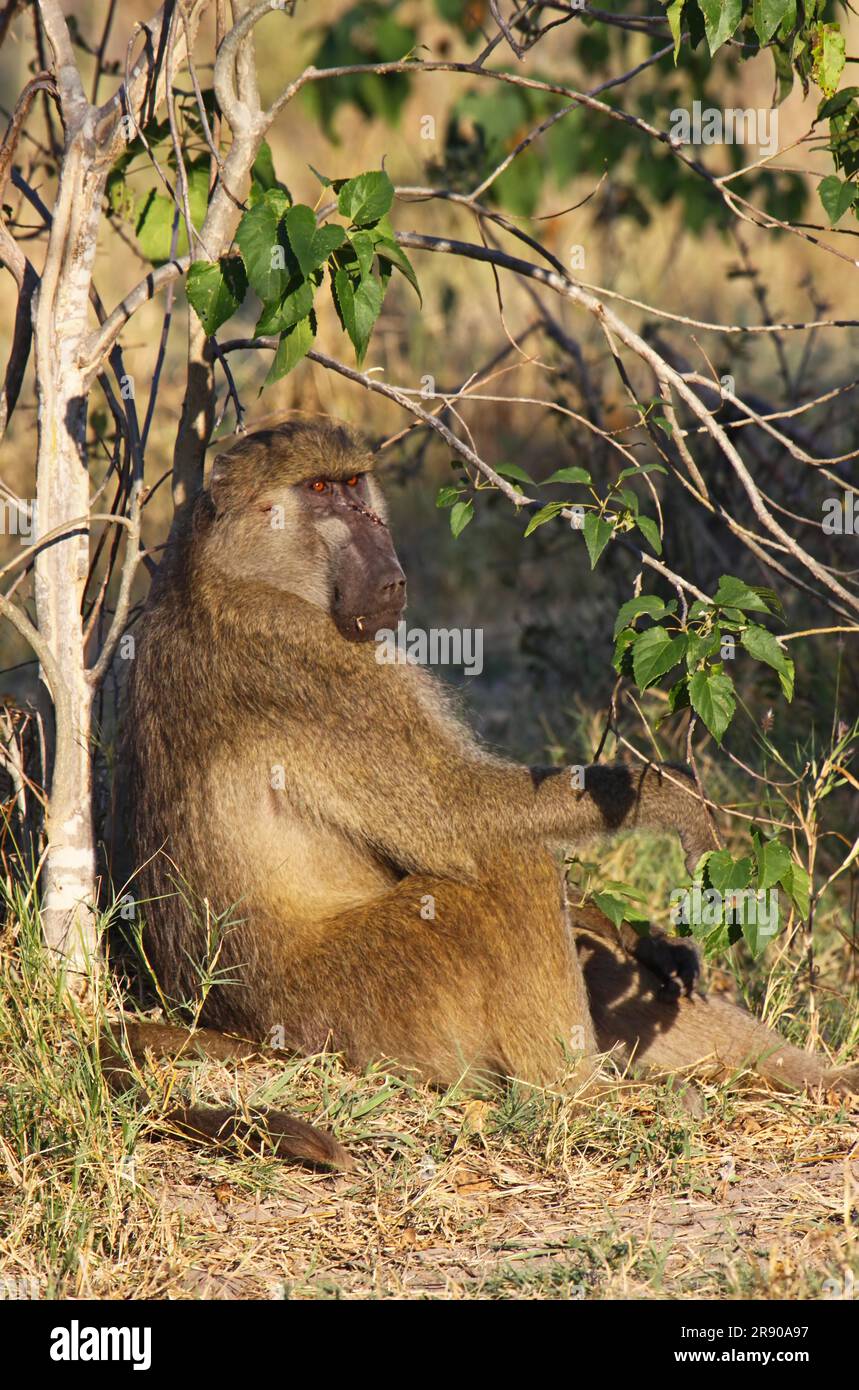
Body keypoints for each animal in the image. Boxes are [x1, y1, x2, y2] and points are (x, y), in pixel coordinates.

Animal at [116, 419, 857, 1169]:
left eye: (354, 484)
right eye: (319, 489)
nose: (377, 537)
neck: (229, 571)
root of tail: (242, 1026)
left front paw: (642, 934)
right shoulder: (315, 666)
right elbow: (459, 818)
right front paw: (673, 794)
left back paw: (821, 1079)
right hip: (364, 1009)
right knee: (510, 861)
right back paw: (585, 1098)